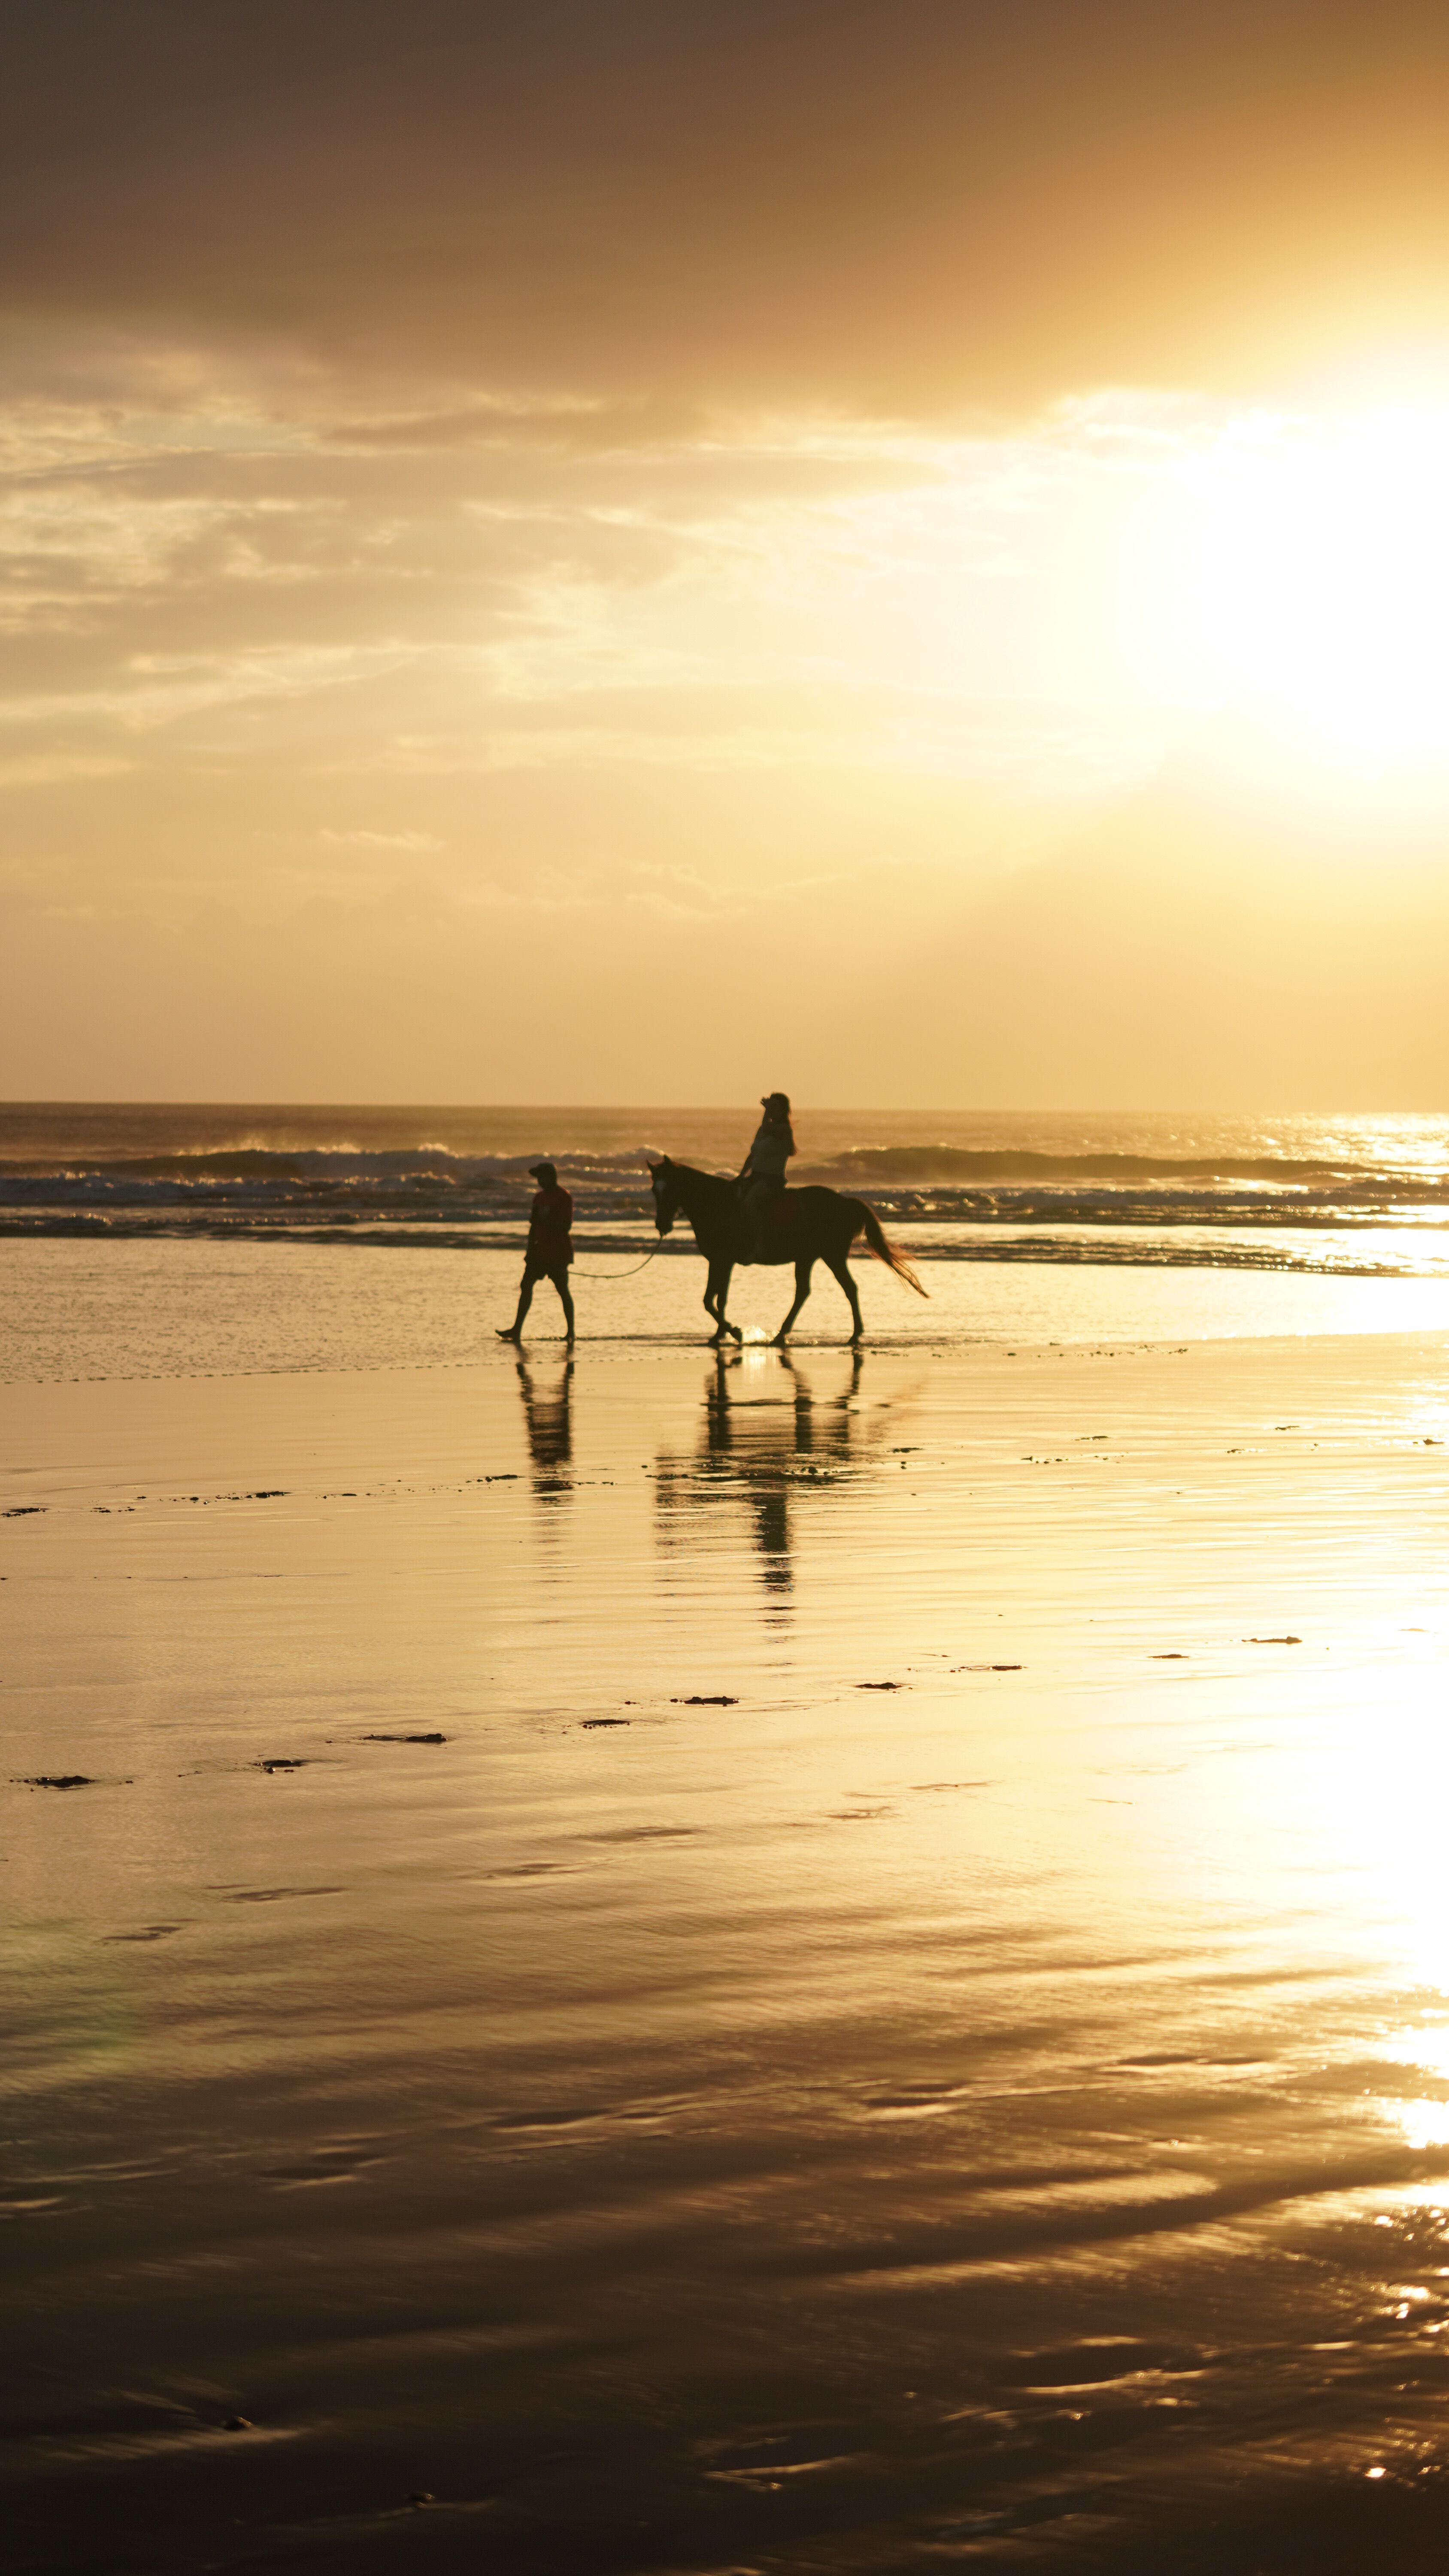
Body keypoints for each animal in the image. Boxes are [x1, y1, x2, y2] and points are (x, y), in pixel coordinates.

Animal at [647, 1158, 927, 1345]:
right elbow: (714, 1299)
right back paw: (783, 1335)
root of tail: (845, 1201)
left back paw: (854, 1334)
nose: (662, 1226)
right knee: (805, 1292)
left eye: (670, 1189)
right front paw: (720, 1335)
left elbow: (714, 1300)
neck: (716, 1205)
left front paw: (735, 1332)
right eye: (654, 1190)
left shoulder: (724, 1261)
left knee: (848, 1288)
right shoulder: (717, 1261)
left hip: (832, 1255)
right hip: (808, 1258)